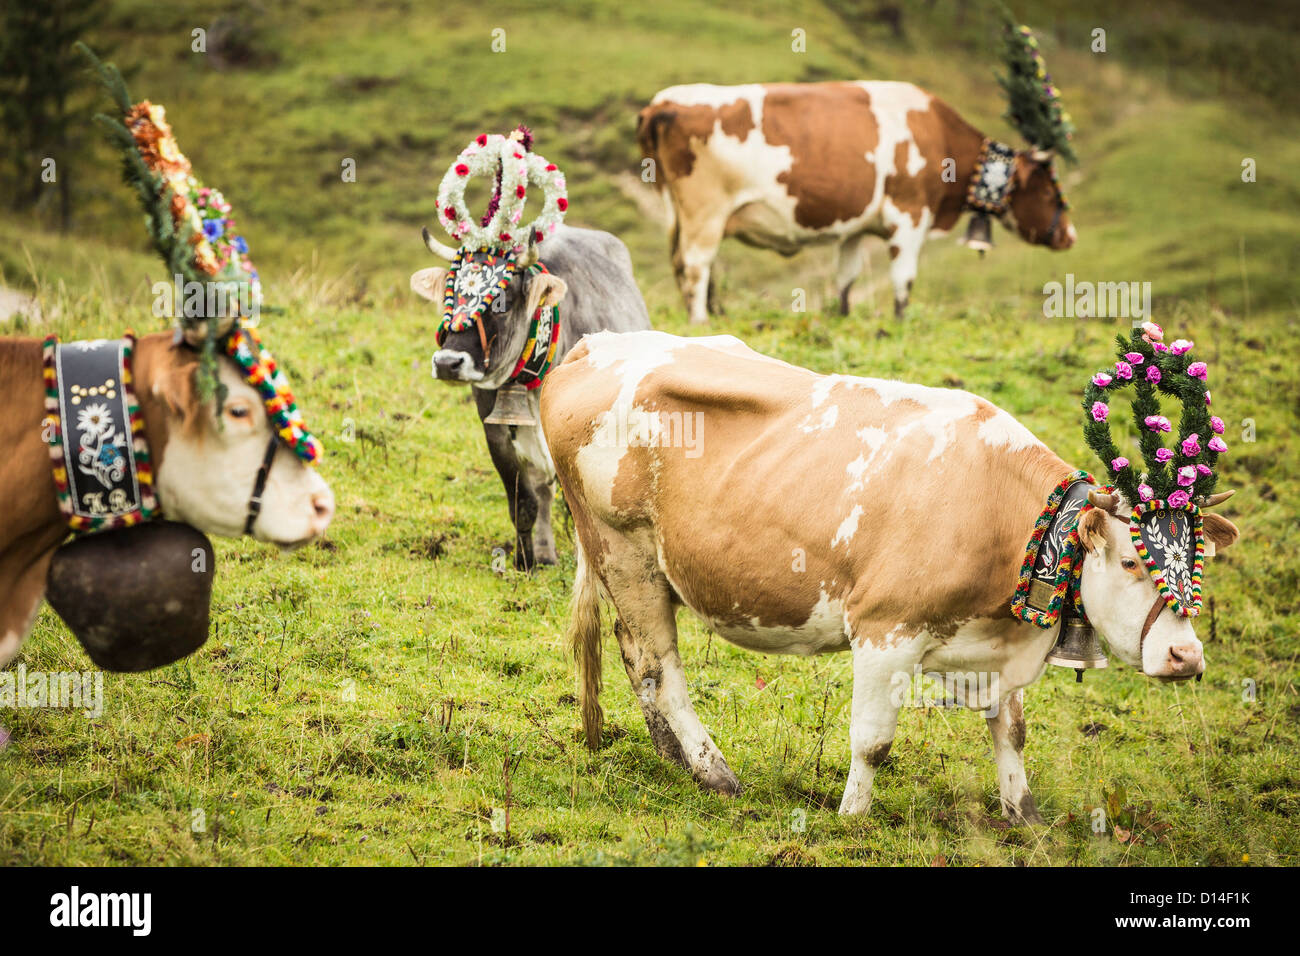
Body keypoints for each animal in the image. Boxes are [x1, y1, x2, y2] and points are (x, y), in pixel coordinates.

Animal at [412, 224, 651, 571]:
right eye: (450, 295)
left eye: (502, 301)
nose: (447, 363)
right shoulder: (495, 432)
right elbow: (524, 502)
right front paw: (524, 561)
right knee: (542, 490)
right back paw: (545, 551)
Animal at [541, 330, 1239, 820]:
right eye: (1132, 560)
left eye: (1198, 562)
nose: (1186, 657)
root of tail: (591, 346)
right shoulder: (884, 630)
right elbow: (872, 741)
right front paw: (850, 816)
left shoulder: (1003, 639)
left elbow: (1011, 731)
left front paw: (1023, 814)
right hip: (623, 551)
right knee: (661, 665)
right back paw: (714, 772)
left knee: (635, 657)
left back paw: (674, 758)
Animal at [637, 81, 1077, 322]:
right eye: (1049, 190)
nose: (1070, 236)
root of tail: (662, 102)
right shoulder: (909, 213)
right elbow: (903, 278)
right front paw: (900, 322)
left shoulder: (855, 226)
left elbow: (846, 276)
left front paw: (844, 314)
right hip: (706, 210)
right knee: (698, 264)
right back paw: (701, 319)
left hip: (679, 214)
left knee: (686, 264)